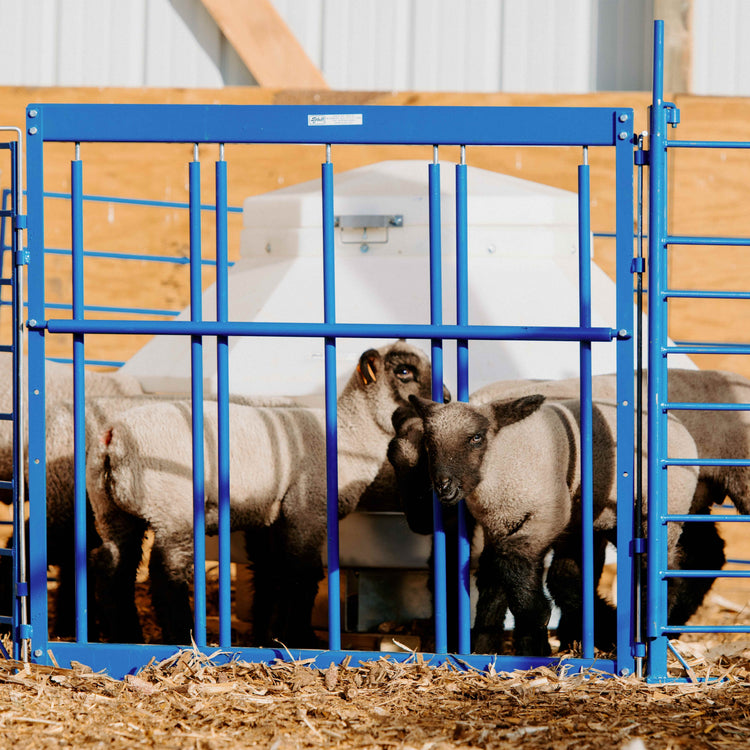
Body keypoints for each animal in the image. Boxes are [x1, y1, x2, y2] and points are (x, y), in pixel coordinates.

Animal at [85, 340, 446, 646]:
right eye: (405, 372)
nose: (445, 398)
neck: (349, 436)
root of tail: (113, 437)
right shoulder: (307, 509)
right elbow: (302, 574)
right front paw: (300, 638)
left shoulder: (269, 517)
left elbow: (270, 573)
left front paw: (267, 634)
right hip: (173, 509)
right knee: (166, 574)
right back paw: (181, 636)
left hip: (112, 510)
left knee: (114, 567)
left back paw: (126, 637)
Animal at [404, 393, 700, 656]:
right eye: (429, 441)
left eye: (476, 437)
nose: (444, 487)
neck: (503, 460)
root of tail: (679, 425)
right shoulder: (499, 527)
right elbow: (493, 580)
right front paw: (484, 649)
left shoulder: (547, 516)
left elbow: (513, 564)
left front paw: (535, 637)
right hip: (598, 522)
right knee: (569, 577)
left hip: (660, 513)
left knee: (662, 571)